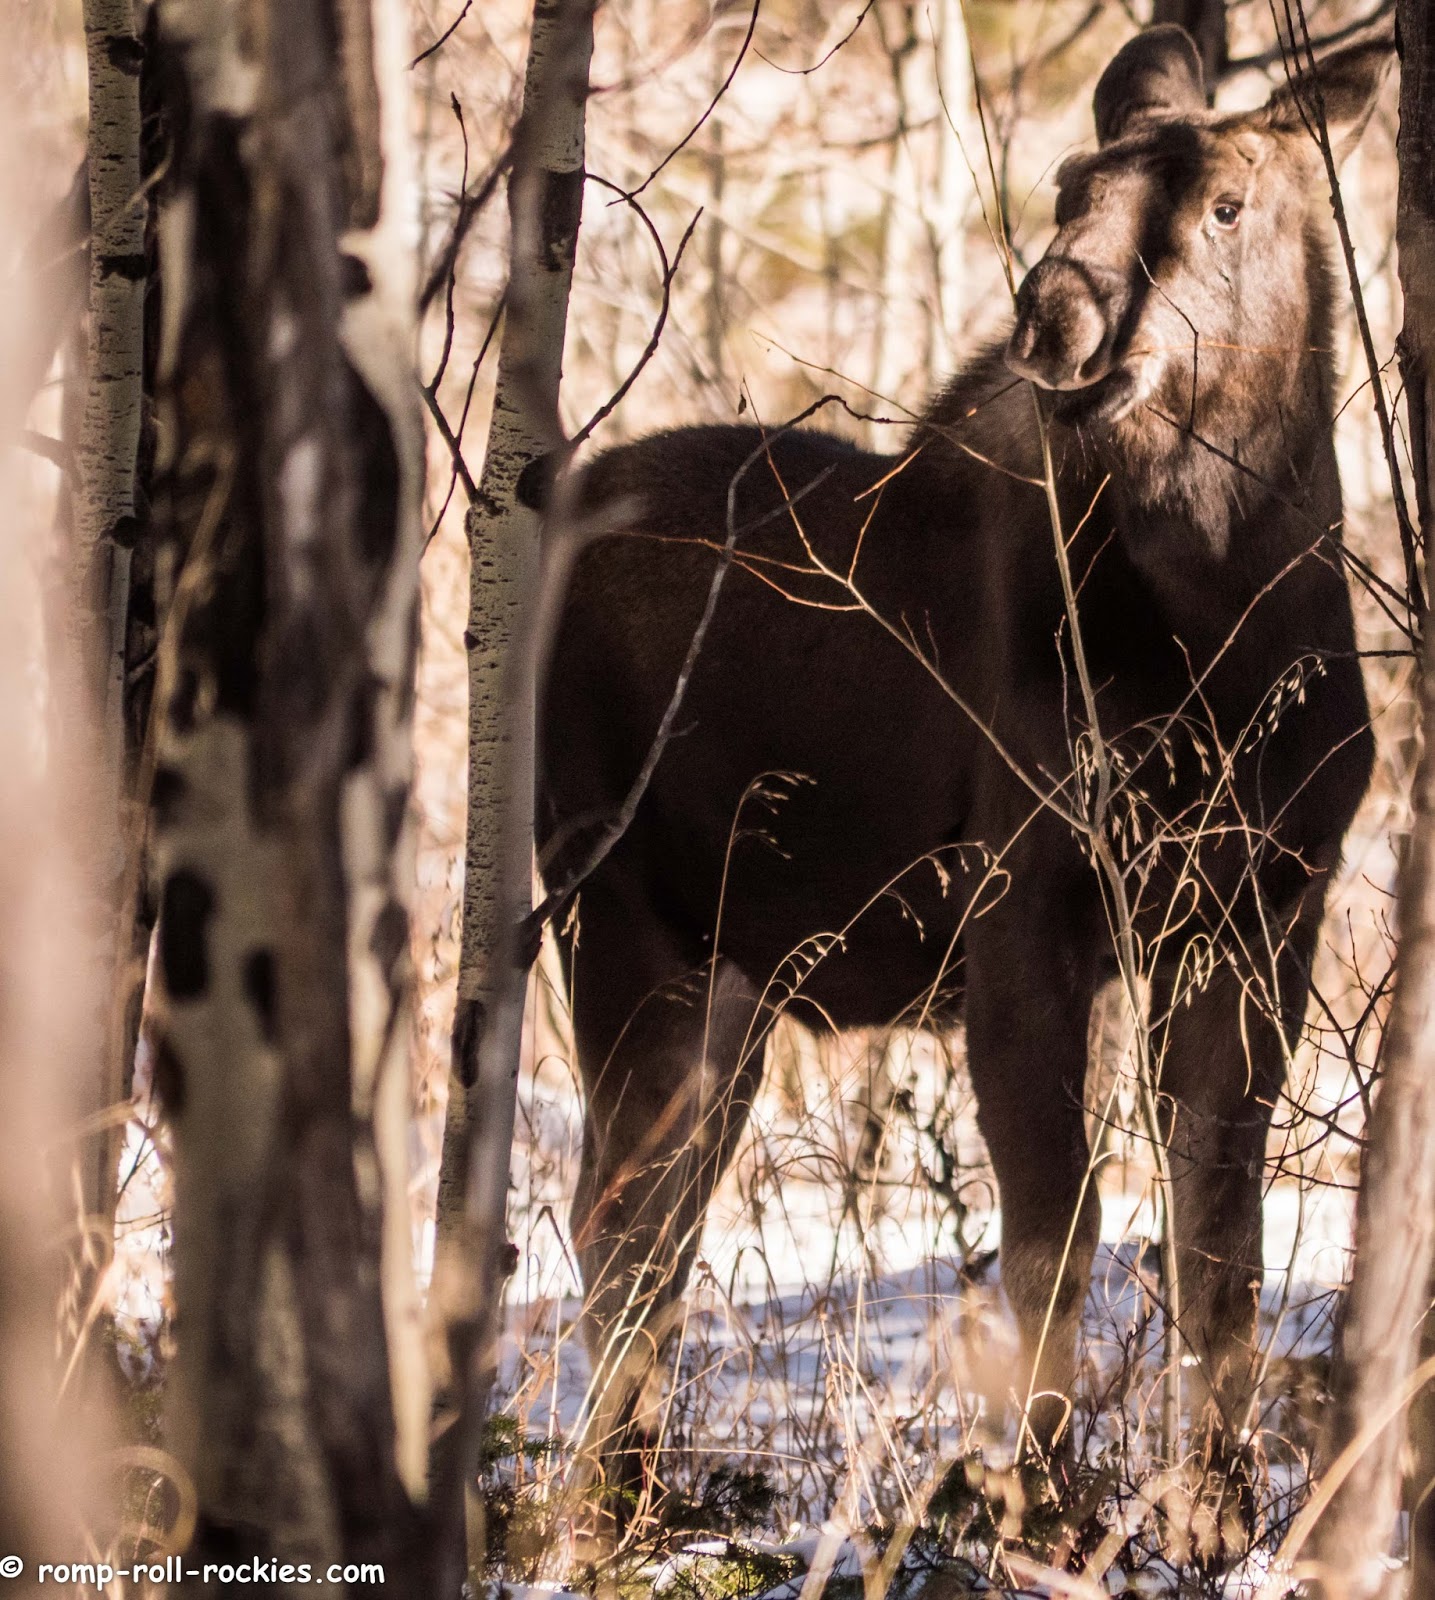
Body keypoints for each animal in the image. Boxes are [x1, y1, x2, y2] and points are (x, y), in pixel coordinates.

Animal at [535, 24, 1387, 1550]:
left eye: (1225, 204)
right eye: (1065, 188)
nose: (1056, 310)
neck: (1224, 627)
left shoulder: (1263, 908)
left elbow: (1216, 1227)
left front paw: (1216, 1513)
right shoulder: (1022, 902)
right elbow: (1055, 1227)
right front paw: (1037, 1506)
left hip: (734, 975)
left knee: (665, 1211)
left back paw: (638, 1487)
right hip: (613, 911)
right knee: (618, 1212)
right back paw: (605, 1504)